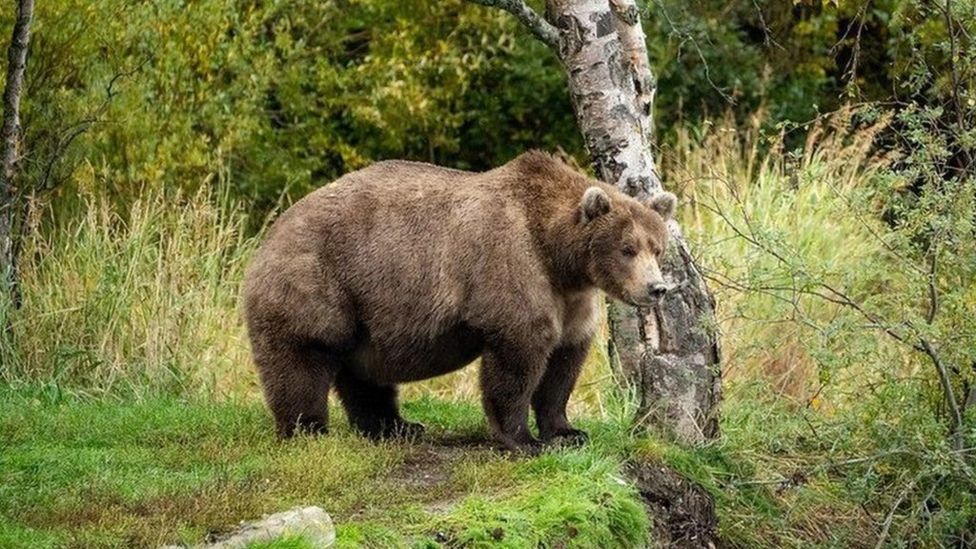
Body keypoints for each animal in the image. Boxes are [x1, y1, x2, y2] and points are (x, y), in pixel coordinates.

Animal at [243, 150, 676, 451]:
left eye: (657, 247)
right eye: (627, 248)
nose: (656, 288)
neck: (558, 257)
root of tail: (269, 236)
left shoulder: (573, 300)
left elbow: (564, 363)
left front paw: (568, 431)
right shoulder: (511, 267)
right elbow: (518, 358)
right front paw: (523, 439)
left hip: (365, 311)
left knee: (364, 372)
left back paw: (397, 426)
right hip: (317, 283)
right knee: (302, 360)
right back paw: (308, 430)